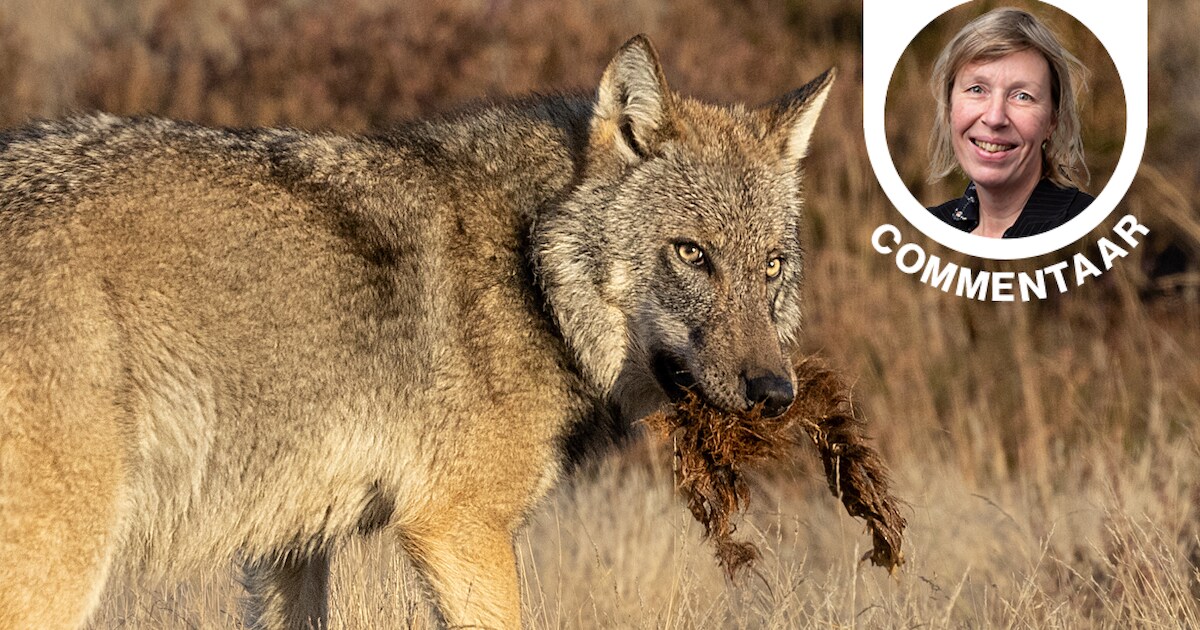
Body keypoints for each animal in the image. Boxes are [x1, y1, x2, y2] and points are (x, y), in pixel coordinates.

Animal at [0, 35, 833, 629]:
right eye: (691, 253)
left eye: (770, 266)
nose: (775, 392)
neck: (531, 271)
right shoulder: (458, 527)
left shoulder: (290, 546)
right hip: (62, 559)